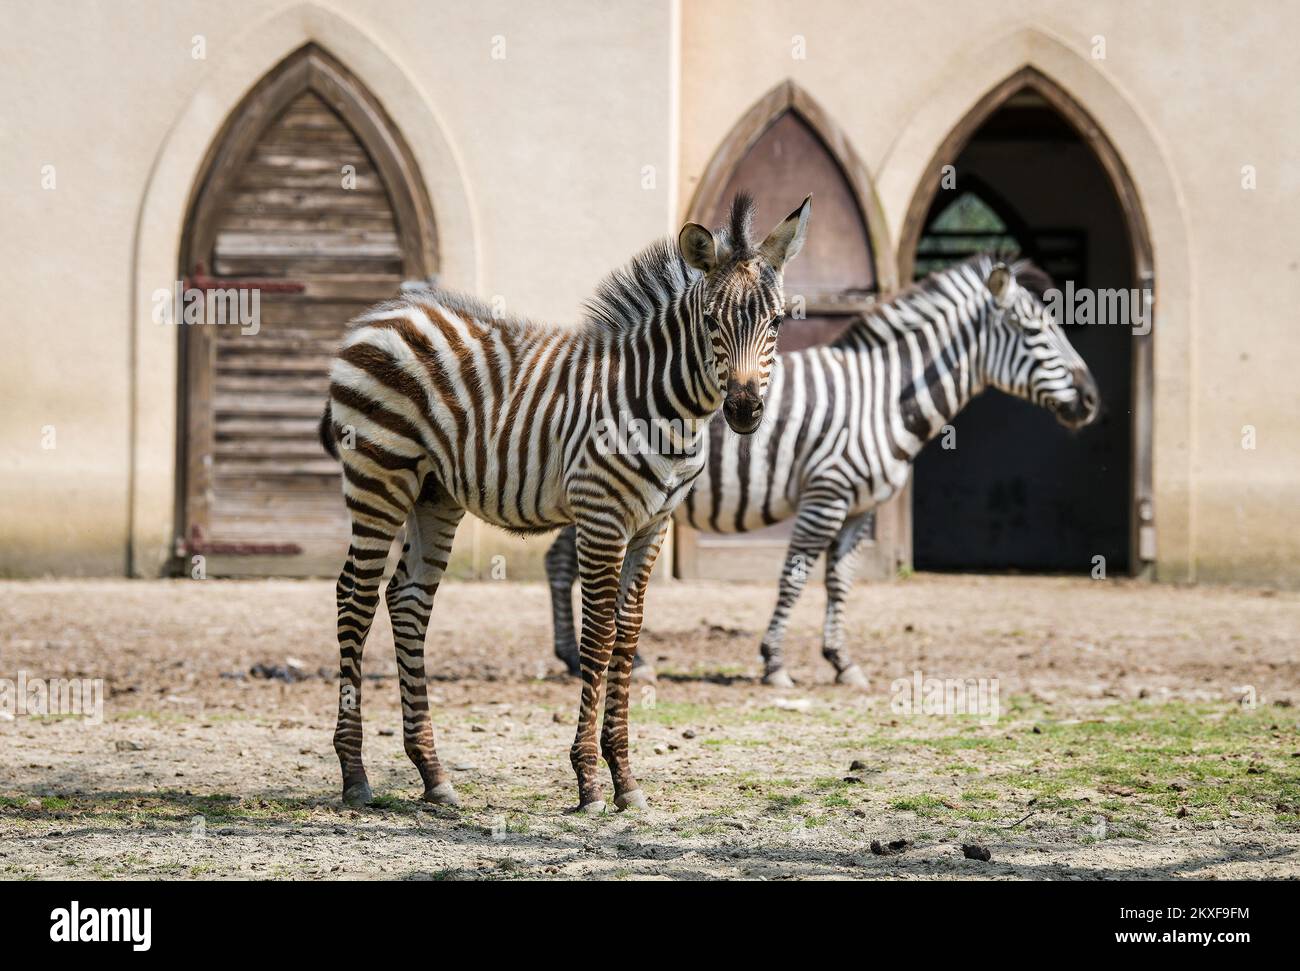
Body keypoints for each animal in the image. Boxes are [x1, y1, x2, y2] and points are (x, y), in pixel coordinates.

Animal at [319, 193, 811, 813]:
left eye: (777, 321)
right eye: (710, 322)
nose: (745, 411)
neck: (664, 405)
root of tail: (385, 313)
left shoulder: (654, 525)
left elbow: (628, 634)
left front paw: (626, 779)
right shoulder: (602, 517)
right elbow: (597, 636)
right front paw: (589, 781)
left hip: (435, 493)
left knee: (407, 600)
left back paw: (433, 775)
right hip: (378, 477)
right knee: (354, 597)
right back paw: (355, 775)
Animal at [546, 255, 1100, 686]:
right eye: (1033, 331)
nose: (1092, 400)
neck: (883, 399)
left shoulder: (860, 507)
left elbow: (840, 581)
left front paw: (842, 661)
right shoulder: (826, 493)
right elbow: (794, 576)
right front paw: (774, 663)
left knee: (560, 561)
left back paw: (573, 657)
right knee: (570, 564)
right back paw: (616, 661)